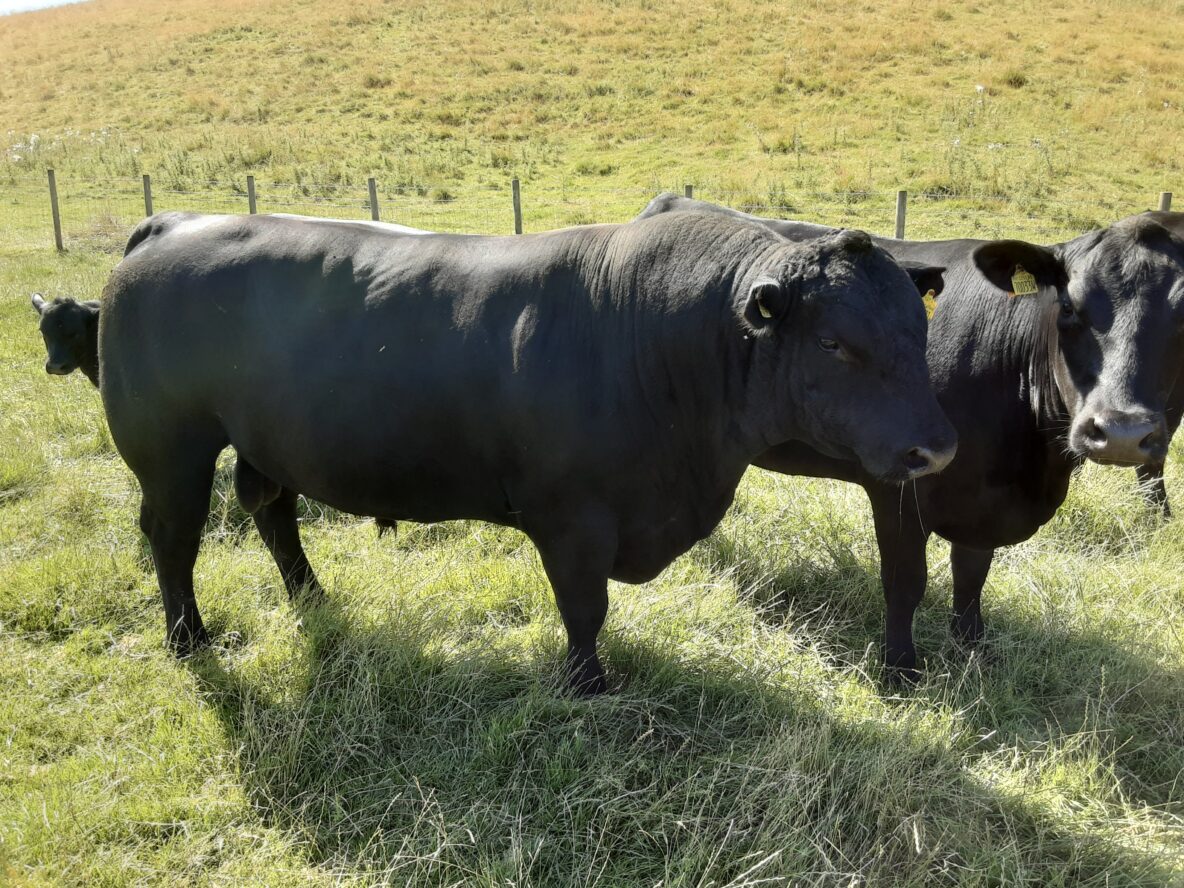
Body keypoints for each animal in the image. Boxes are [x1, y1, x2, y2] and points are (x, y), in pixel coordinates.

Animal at [98, 209, 956, 694]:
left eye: (919, 327)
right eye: (835, 342)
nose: (938, 450)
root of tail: (164, 232)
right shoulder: (571, 517)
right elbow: (584, 606)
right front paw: (586, 684)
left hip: (261, 443)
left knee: (274, 512)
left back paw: (313, 599)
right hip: (169, 447)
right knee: (173, 538)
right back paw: (189, 639)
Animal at [637, 194, 1184, 676]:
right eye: (1068, 306)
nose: (1120, 432)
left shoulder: (981, 503)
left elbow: (971, 575)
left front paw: (972, 647)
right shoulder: (901, 485)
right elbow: (906, 582)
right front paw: (901, 669)